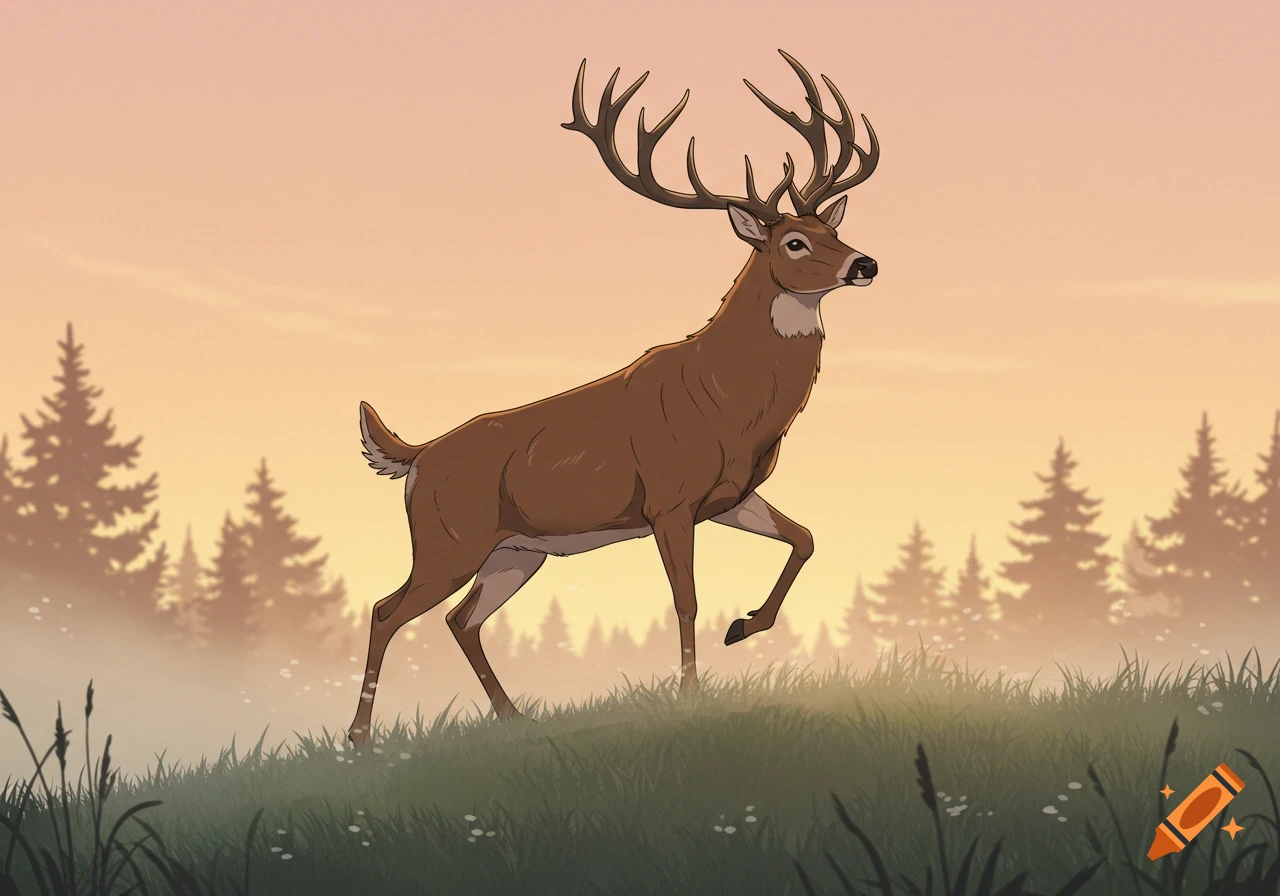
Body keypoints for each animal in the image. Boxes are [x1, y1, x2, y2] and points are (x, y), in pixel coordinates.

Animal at [347, 49, 879, 747]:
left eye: (831, 229)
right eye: (793, 241)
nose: (865, 264)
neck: (728, 402)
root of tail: (417, 456)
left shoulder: (733, 495)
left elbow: (806, 538)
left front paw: (744, 627)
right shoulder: (669, 498)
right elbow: (686, 598)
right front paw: (689, 695)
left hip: (516, 552)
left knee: (461, 620)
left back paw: (513, 717)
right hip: (448, 537)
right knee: (387, 609)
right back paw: (358, 737)